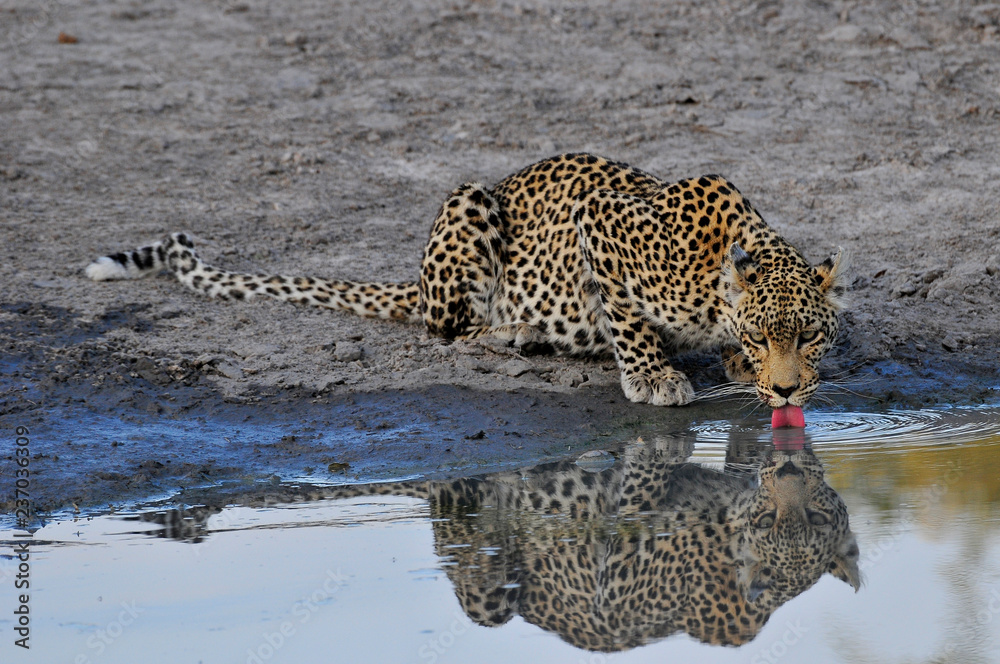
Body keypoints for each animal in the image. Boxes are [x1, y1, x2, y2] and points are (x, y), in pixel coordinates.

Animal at [86, 153, 848, 407]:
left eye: (811, 337)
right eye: (765, 336)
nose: (788, 393)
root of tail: (415, 282)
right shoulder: (599, 222)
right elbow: (629, 319)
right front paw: (654, 376)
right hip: (467, 203)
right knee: (447, 329)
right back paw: (519, 335)